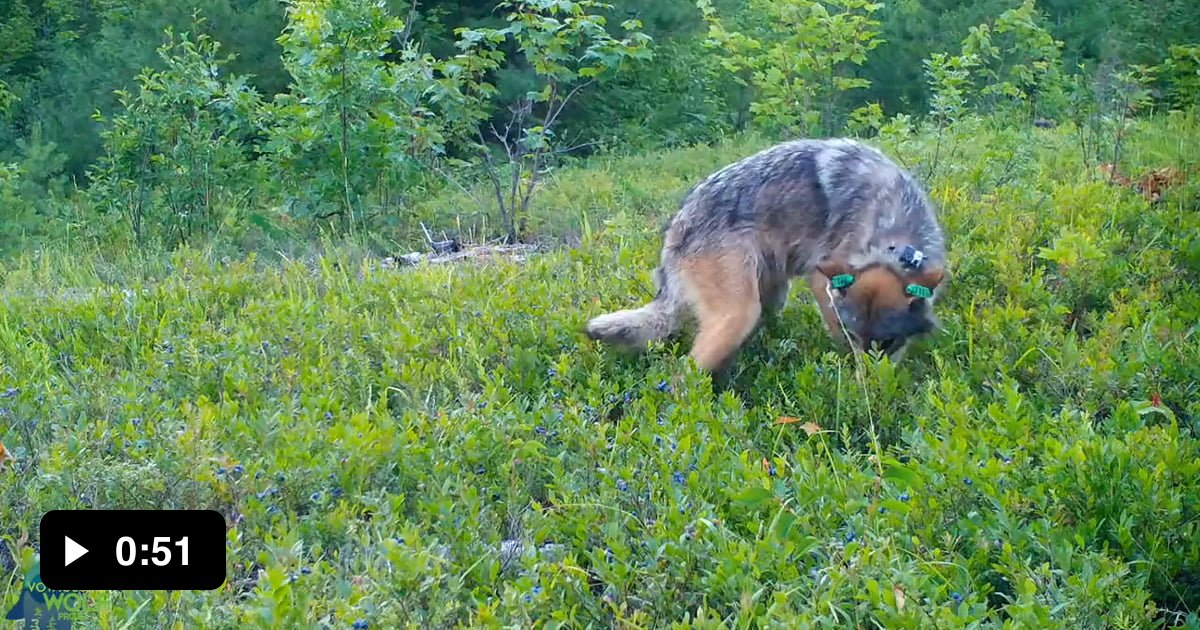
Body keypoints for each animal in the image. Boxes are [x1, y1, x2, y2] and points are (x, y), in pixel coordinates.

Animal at [584, 138, 947, 375]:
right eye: (857, 338)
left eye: (887, 342)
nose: (873, 394)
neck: (892, 231)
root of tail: (676, 227)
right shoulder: (822, 281)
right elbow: (837, 332)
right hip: (738, 314)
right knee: (682, 375)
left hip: (770, 295)